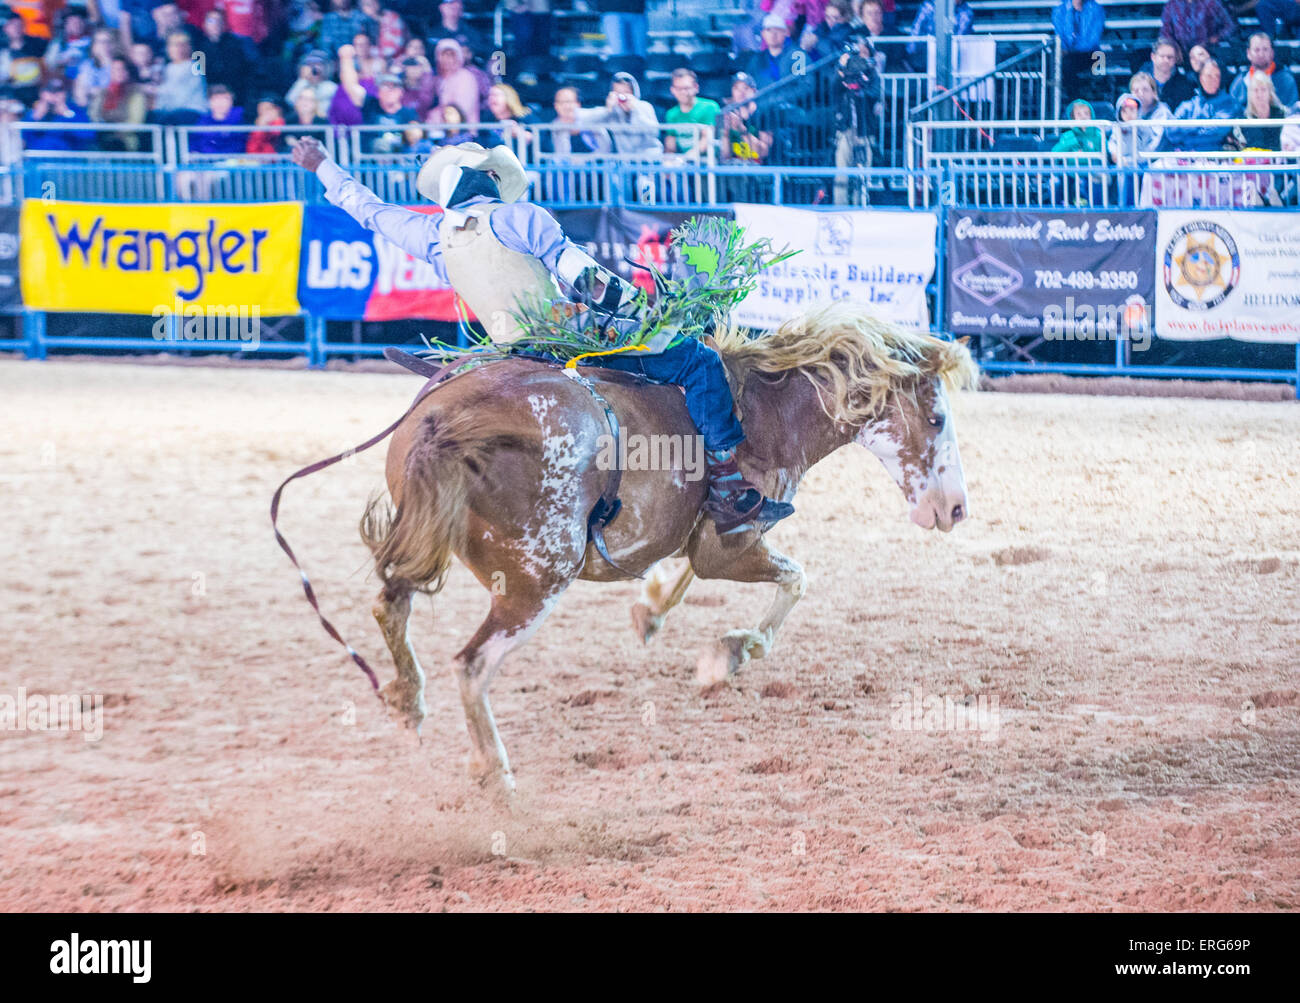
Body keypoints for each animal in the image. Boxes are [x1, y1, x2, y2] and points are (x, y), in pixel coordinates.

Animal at [357, 301, 979, 796]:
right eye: (937, 417)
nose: (955, 509)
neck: (769, 415)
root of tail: (446, 419)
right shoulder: (732, 545)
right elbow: (796, 579)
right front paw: (729, 654)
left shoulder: (690, 536)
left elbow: (680, 575)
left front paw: (651, 612)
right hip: (535, 581)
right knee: (471, 665)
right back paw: (497, 778)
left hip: (430, 538)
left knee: (389, 606)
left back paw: (407, 701)